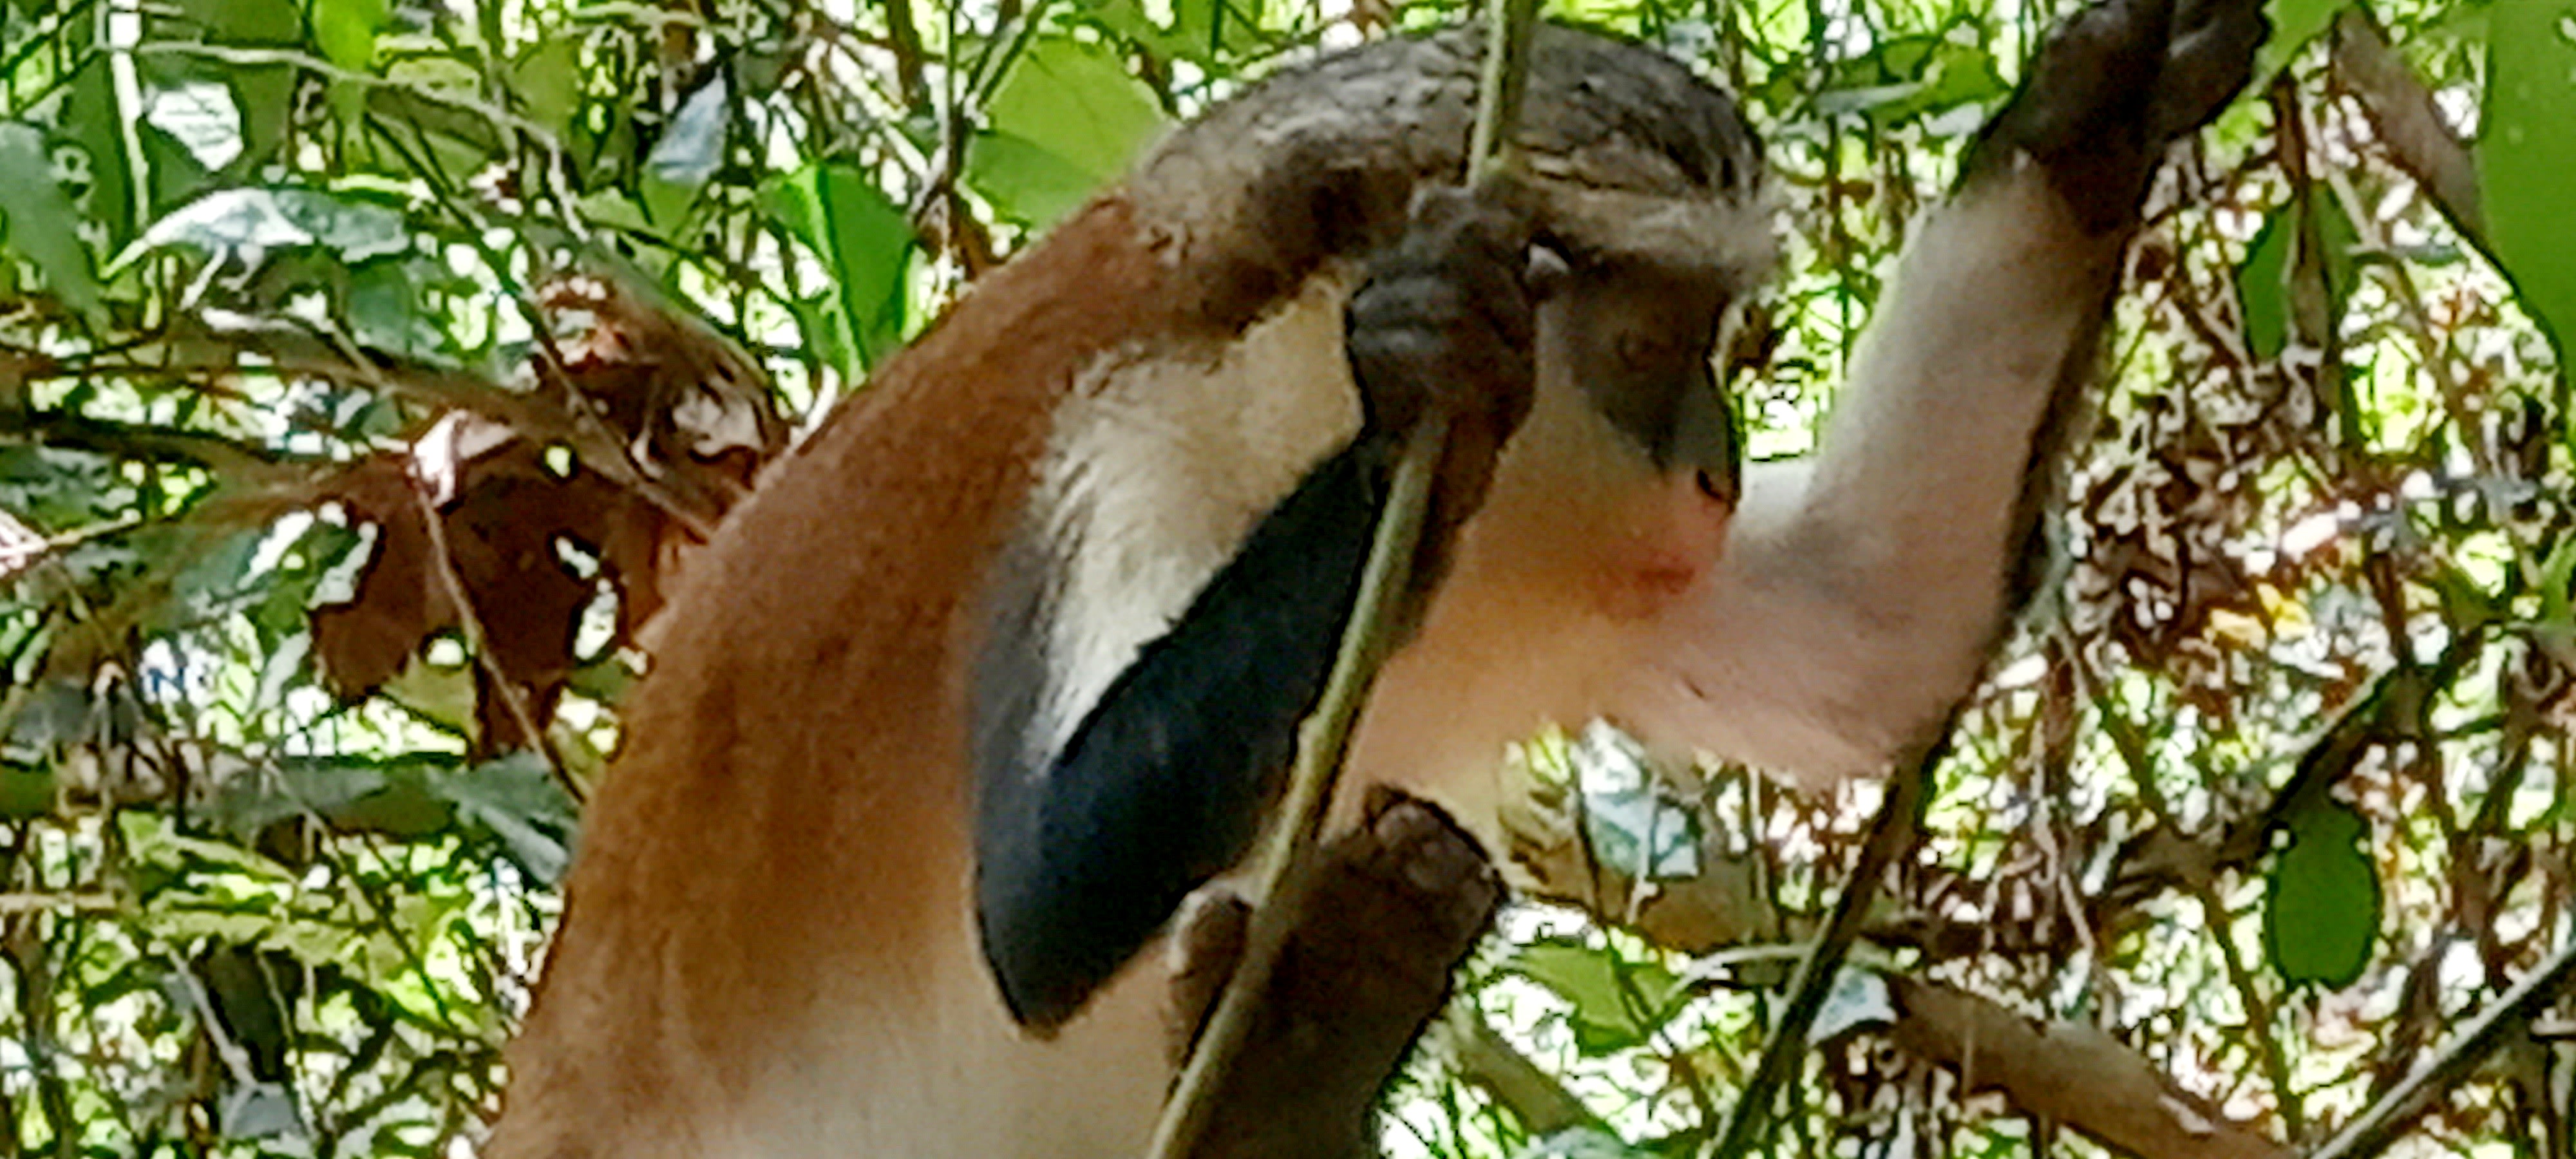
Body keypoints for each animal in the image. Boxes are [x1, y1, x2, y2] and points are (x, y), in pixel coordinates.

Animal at [485, 1, 2263, 1155]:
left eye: (1715, 350)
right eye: (1647, 346)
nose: (1710, 471)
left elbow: (1872, 637)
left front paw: (2100, 99)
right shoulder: (1116, 470)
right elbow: (1042, 913)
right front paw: (1420, 376)